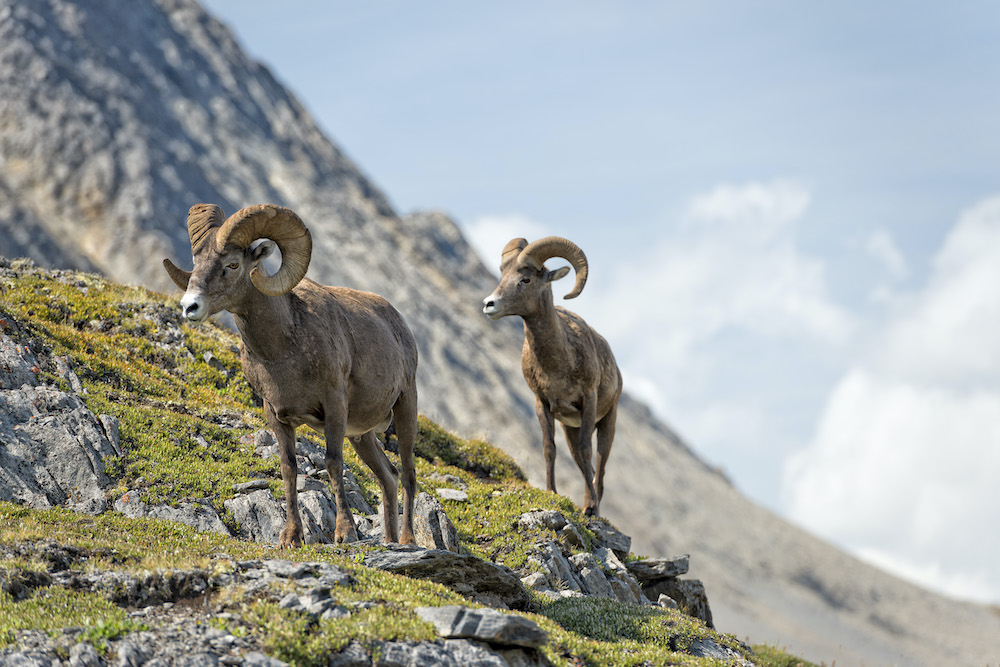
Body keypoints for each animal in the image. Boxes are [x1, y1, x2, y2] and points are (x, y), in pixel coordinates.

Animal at [162, 203, 418, 548]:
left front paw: (345, 533)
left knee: (407, 475)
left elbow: (332, 462)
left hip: (405, 407)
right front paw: (291, 537)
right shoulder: (276, 415)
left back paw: (408, 541)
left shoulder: (335, 405)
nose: (190, 306)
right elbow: (288, 469)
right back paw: (391, 541)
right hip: (362, 435)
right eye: (197, 263)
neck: (285, 350)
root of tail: (398, 323)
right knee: (388, 478)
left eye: (232, 264)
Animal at [482, 237, 622, 516]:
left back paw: (594, 505)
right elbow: (549, 449)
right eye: (503, 274)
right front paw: (552, 492)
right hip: (570, 428)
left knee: (599, 465)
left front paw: (590, 508)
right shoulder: (543, 404)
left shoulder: (588, 401)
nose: (489, 304)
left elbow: (587, 451)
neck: (558, 364)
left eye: (525, 279)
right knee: (583, 463)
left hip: (607, 421)